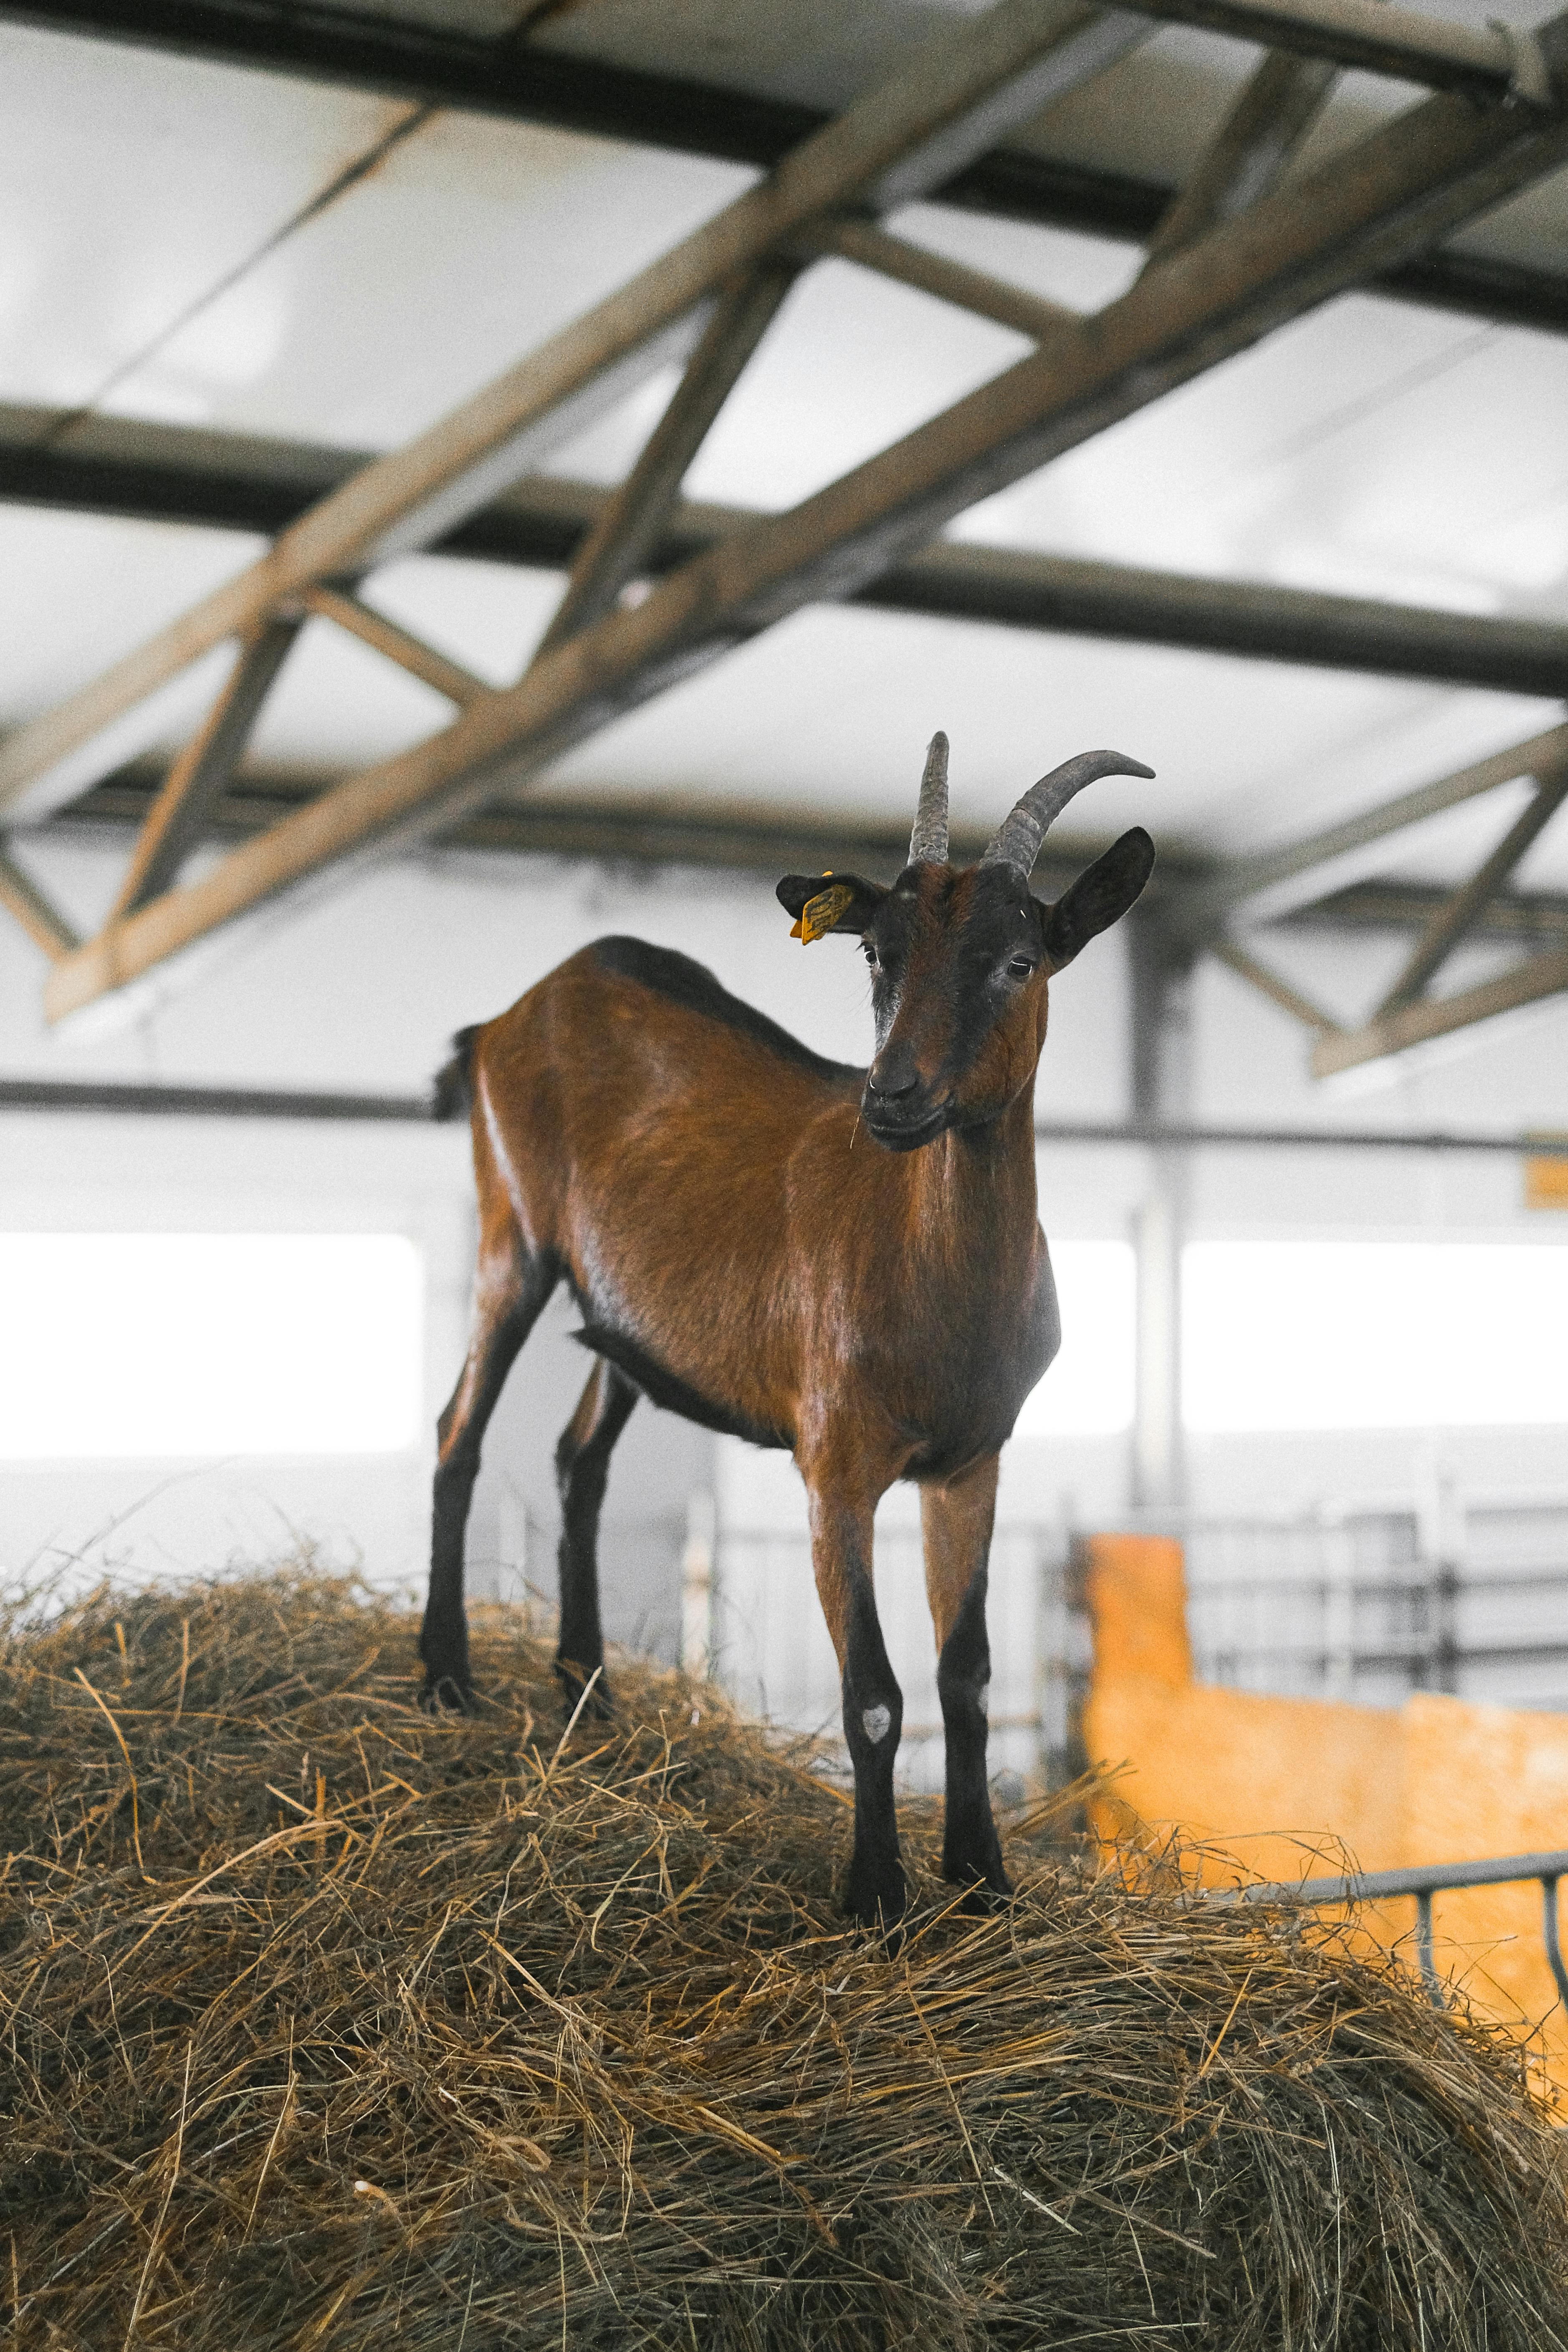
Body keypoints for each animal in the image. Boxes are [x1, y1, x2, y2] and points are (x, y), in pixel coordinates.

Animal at [424, 736, 1154, 1926]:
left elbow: (967, 1675)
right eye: (875, 954)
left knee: (578, 1460)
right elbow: (874, 1693)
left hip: (627, 1317)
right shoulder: (835, 1461)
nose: (891, 1099)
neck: (937, 1284)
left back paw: (589, 1698)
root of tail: (511, 1014)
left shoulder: (973, 1460)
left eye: (1017, 961)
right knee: (459, 1428)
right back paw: (445, 1678)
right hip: (512, 1235)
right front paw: (875, 1895)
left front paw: (982, 1879)